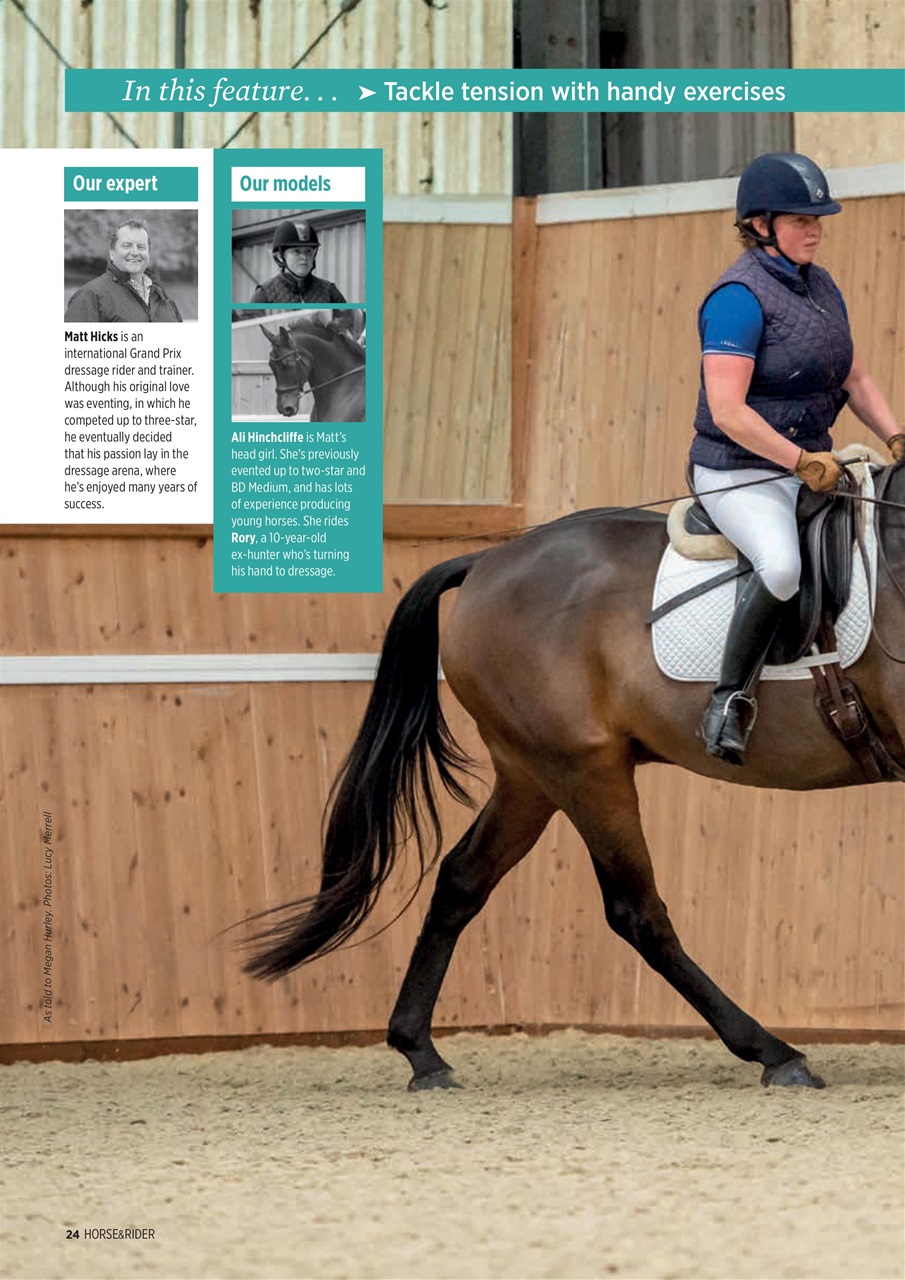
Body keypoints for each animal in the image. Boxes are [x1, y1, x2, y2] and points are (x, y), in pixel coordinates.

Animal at [242, 462, 904, 1091]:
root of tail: (487, 561)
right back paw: (774, 1053)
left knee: (462, 880)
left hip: (530, 776)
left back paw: (421, 1053)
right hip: (583, 771)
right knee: (637, 913)